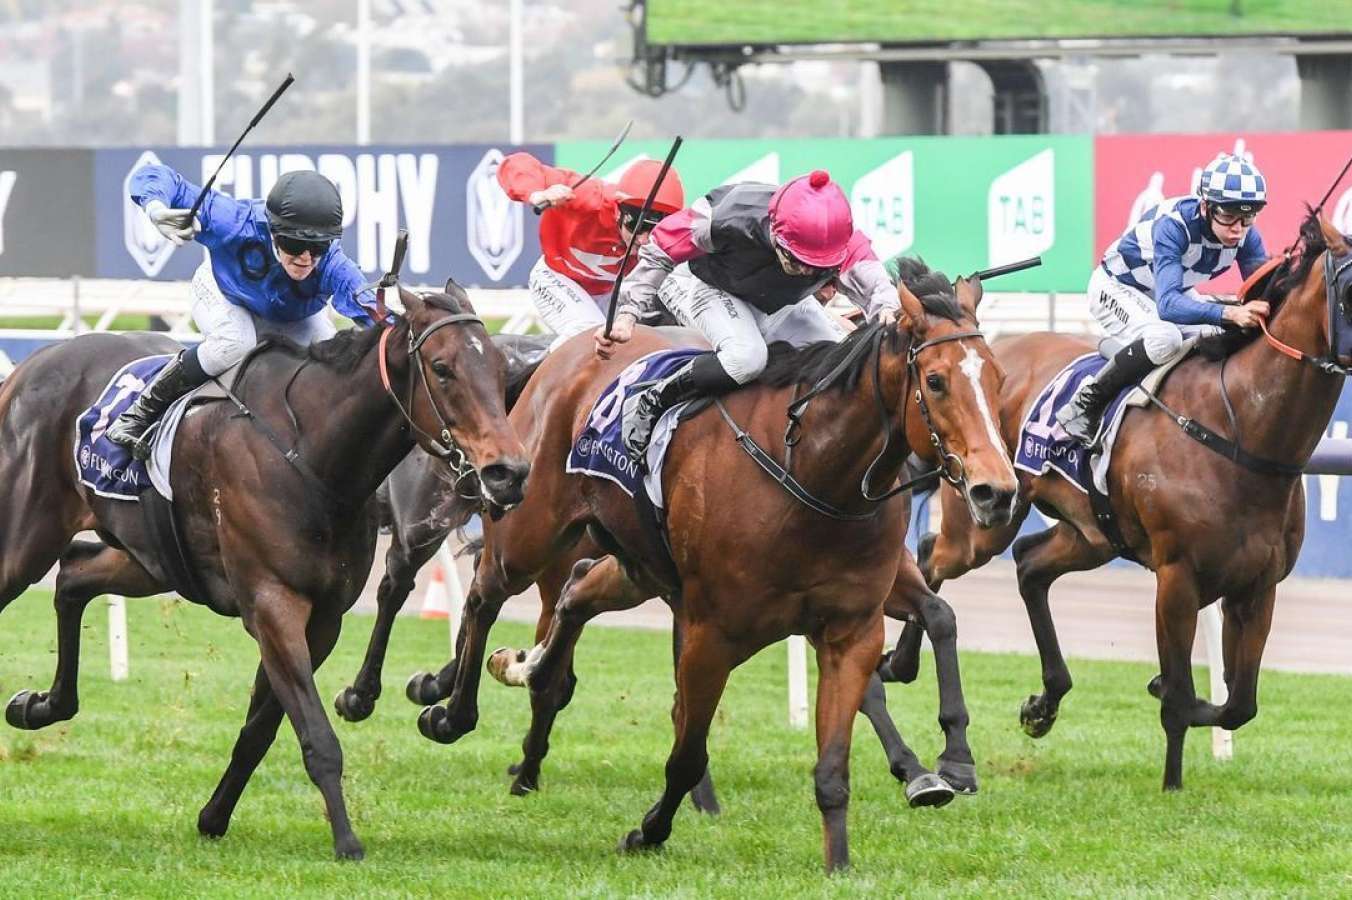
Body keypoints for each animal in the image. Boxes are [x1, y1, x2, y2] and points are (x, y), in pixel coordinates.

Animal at [0, 283, 529, 859]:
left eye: (500, 369)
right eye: (442, 367)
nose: (510, 472)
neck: (314, 455)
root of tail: (30, 366)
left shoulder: (323, 618)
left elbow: (261, 728)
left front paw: (213, 816)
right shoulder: (273, 604)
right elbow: (317, 735)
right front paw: (347, 842)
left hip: (151, 560)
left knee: (74, 574)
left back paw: (41, 705)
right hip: (24, 541)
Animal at [412, 266, 1018, 871]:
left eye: (997, 378)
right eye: (935, 381)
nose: (997, 491)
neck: (814, 473)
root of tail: (571, 350)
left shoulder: (852, 631)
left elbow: (835, 761)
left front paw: (851, 853)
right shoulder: (712, 633)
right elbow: (685, 753)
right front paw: (648, 832)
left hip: (637, 567)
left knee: (576, 590)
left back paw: (533, 678)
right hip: (527, 534)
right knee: (485, 596)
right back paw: (451, 709)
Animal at [907, 214, 1351, 791]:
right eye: (1351, 289)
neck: (1239, 430)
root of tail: (991, 353)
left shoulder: (1257, 584)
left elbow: (1239, 703)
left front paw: (1171, 696)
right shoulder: (1178, 578)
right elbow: (1183, 697)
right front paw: (1172, 783)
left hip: (1093, 533)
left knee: (1029, 563)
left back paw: (1044, 702)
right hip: (984, 516)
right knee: (932, 553)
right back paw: (898, 664)